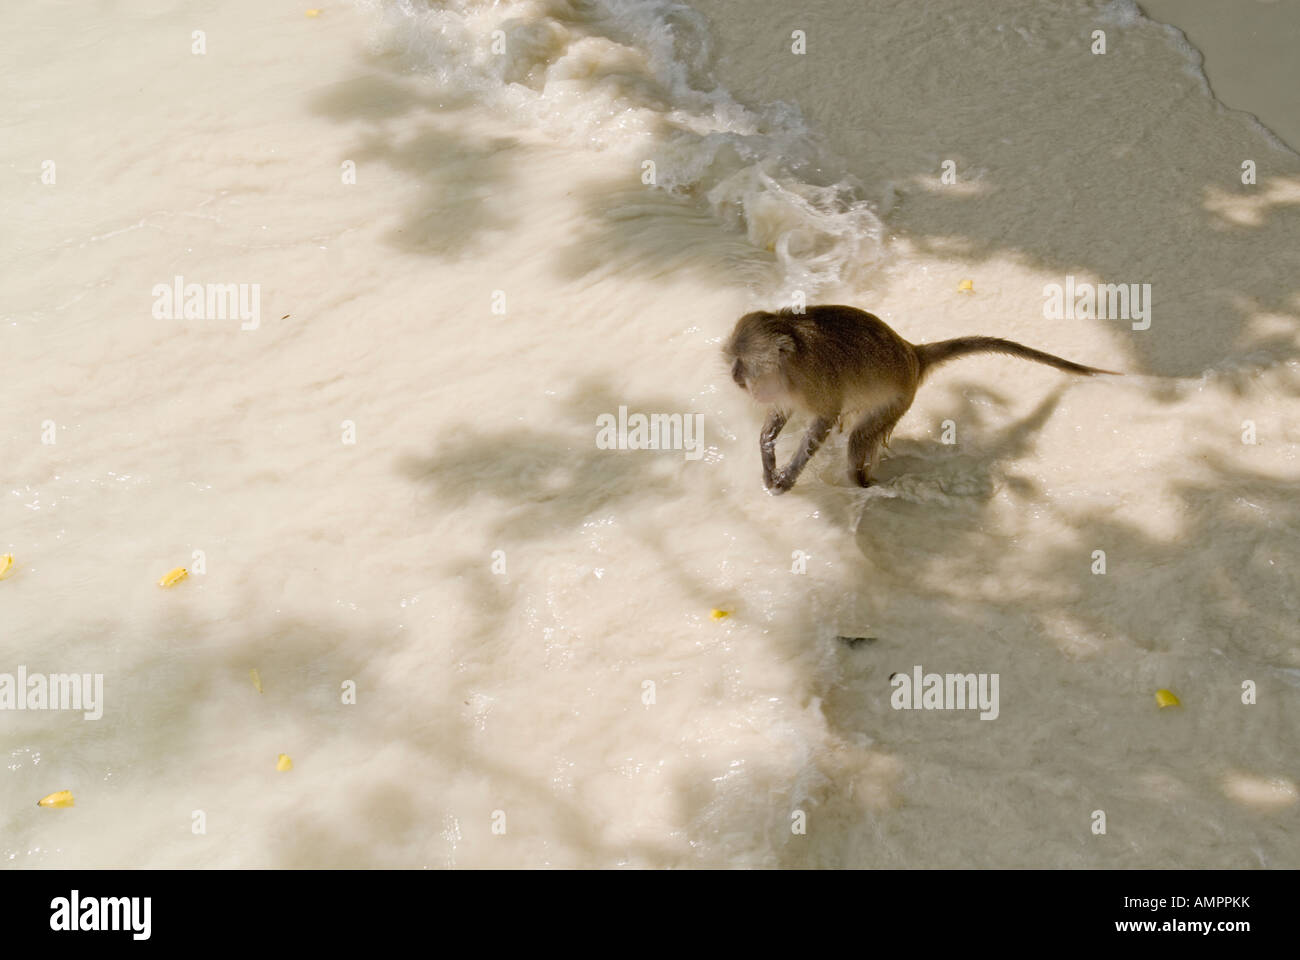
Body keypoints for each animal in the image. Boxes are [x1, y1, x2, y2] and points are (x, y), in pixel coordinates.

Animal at [723, 305, 1119, 494]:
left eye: (743, 364)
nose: (735, 377)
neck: (791, 362)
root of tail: (911, 354)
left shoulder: (815, 384)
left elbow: (822, 423)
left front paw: (787, 476)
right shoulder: (786, 392)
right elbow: (778, 419)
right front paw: (767, 458)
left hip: (898, 398)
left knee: (859, 439)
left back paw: (865, 486)